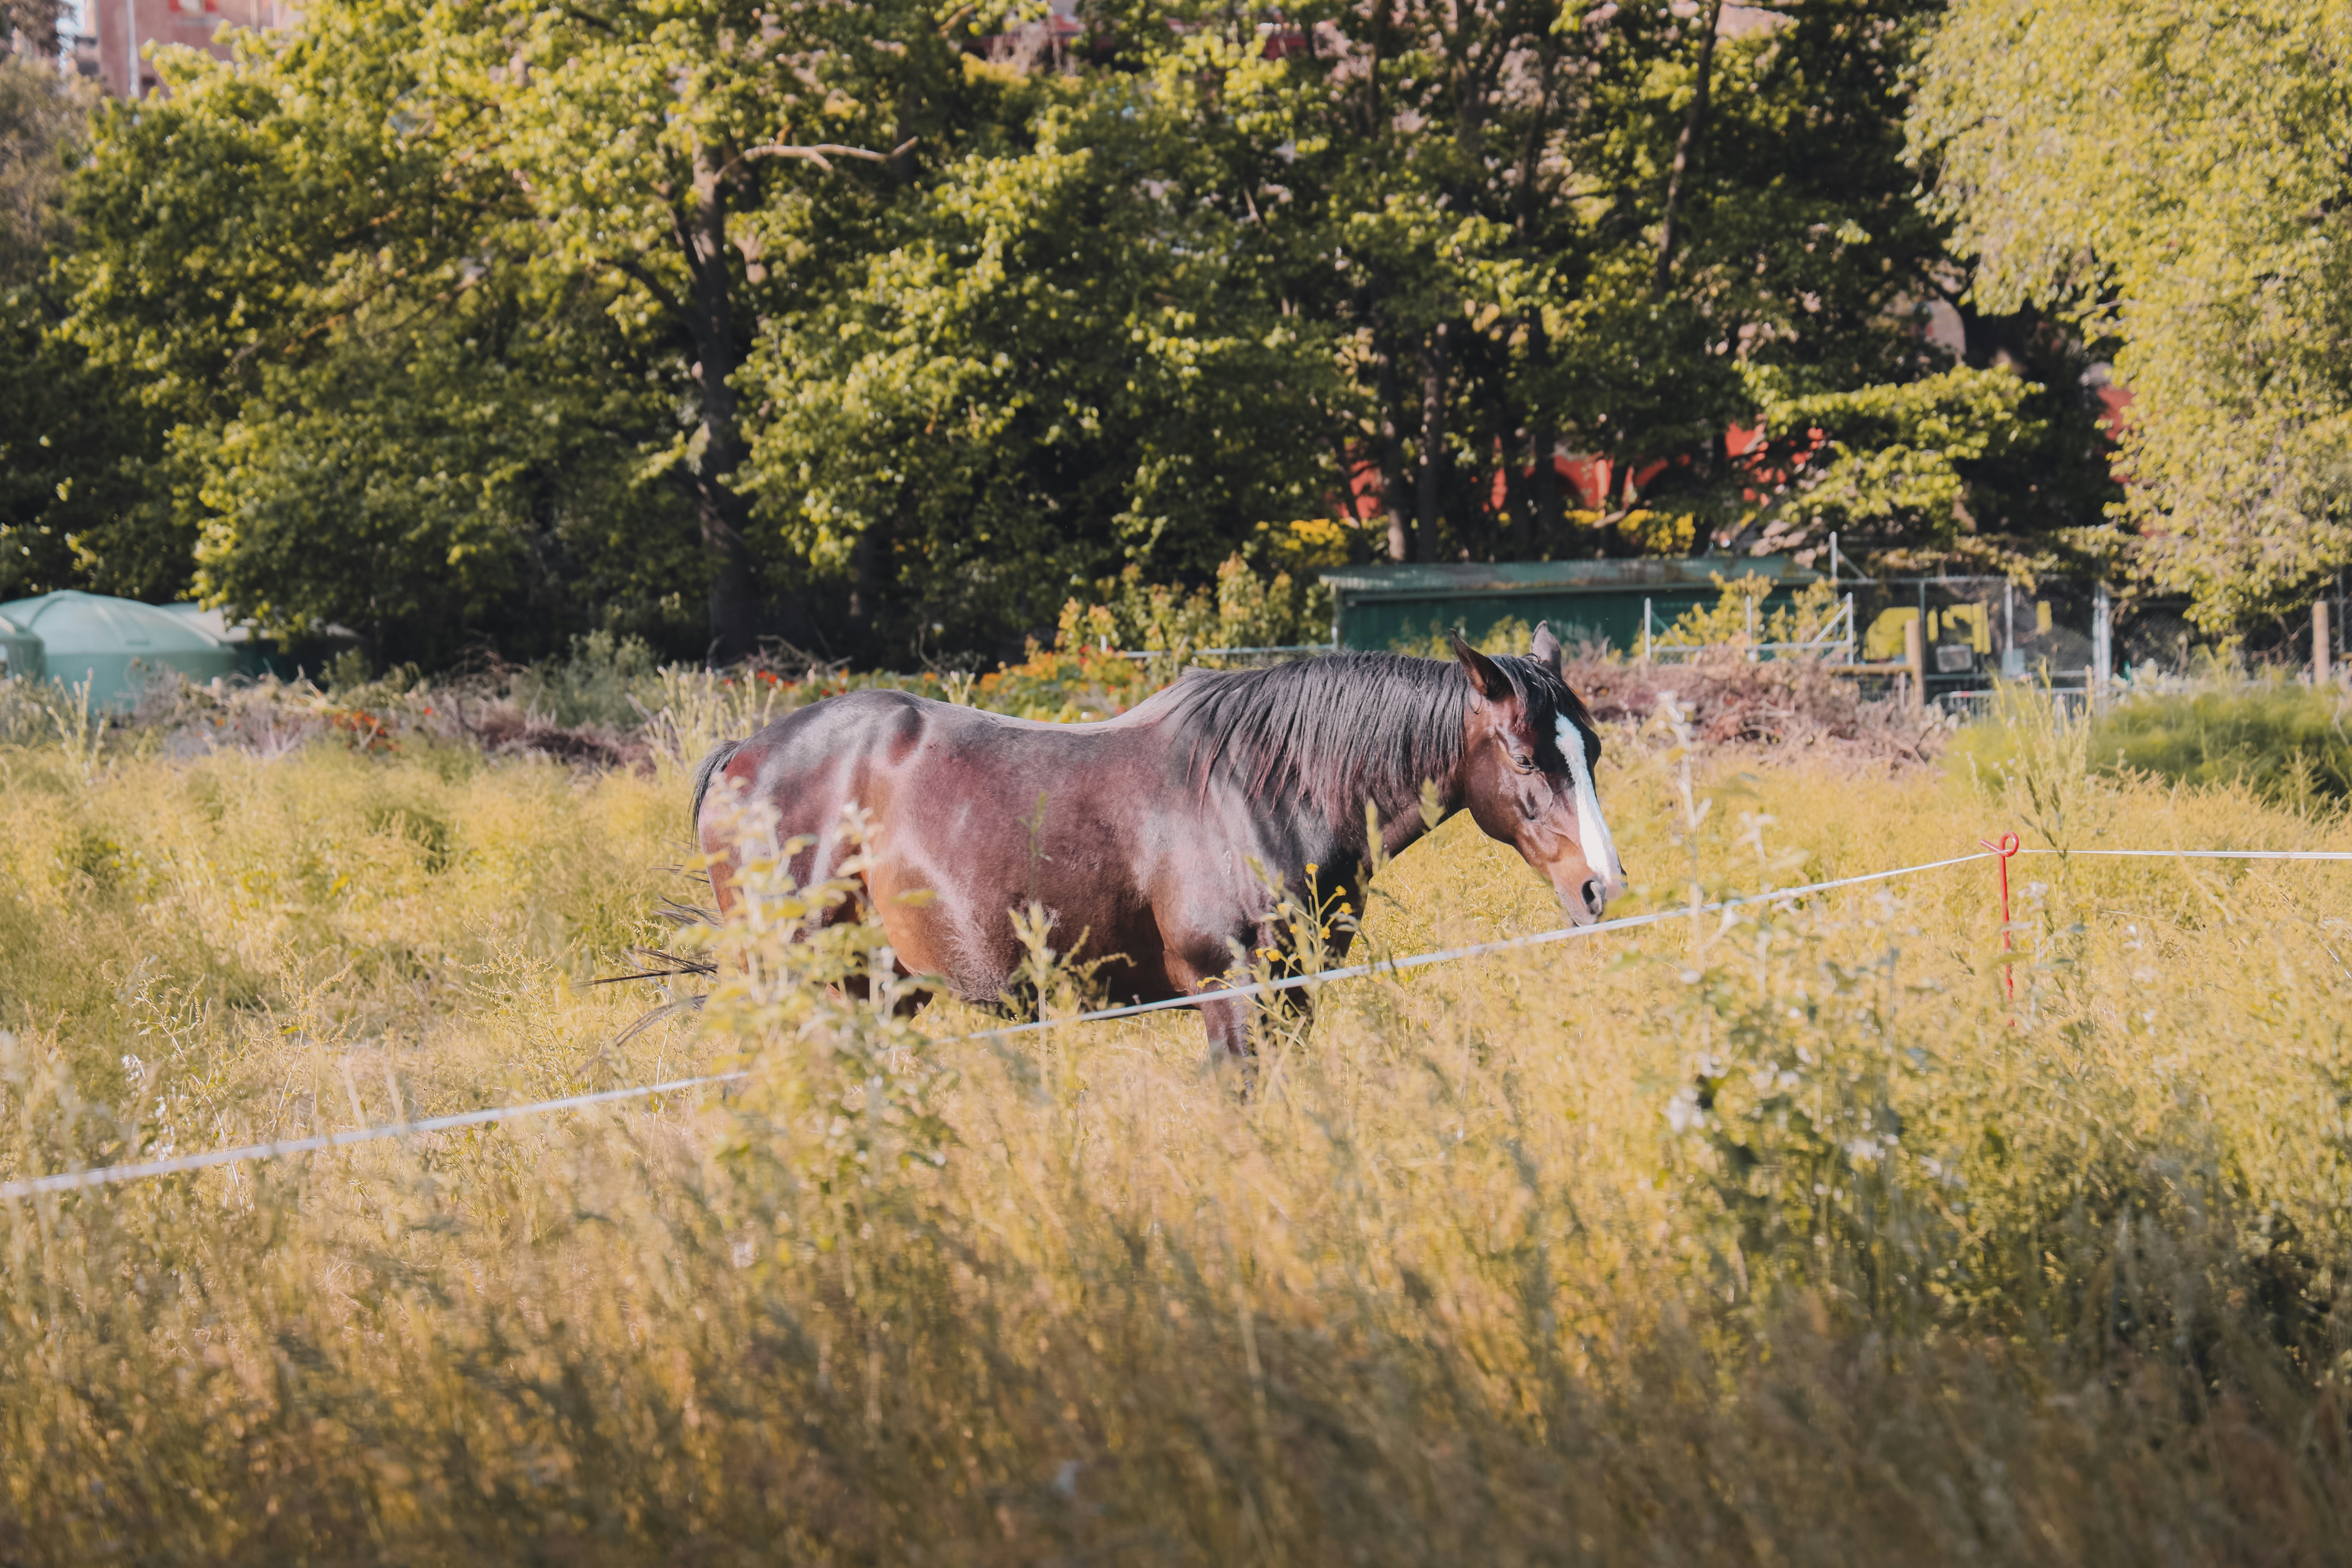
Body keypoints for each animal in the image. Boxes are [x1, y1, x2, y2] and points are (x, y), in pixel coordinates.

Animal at [691, 623, 1625, 1054]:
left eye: (1592, 747)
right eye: (1525, 756)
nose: (1601, 888)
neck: (1263, 790)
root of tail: (744, 754)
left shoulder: (1296, 994)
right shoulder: (1229, 993)